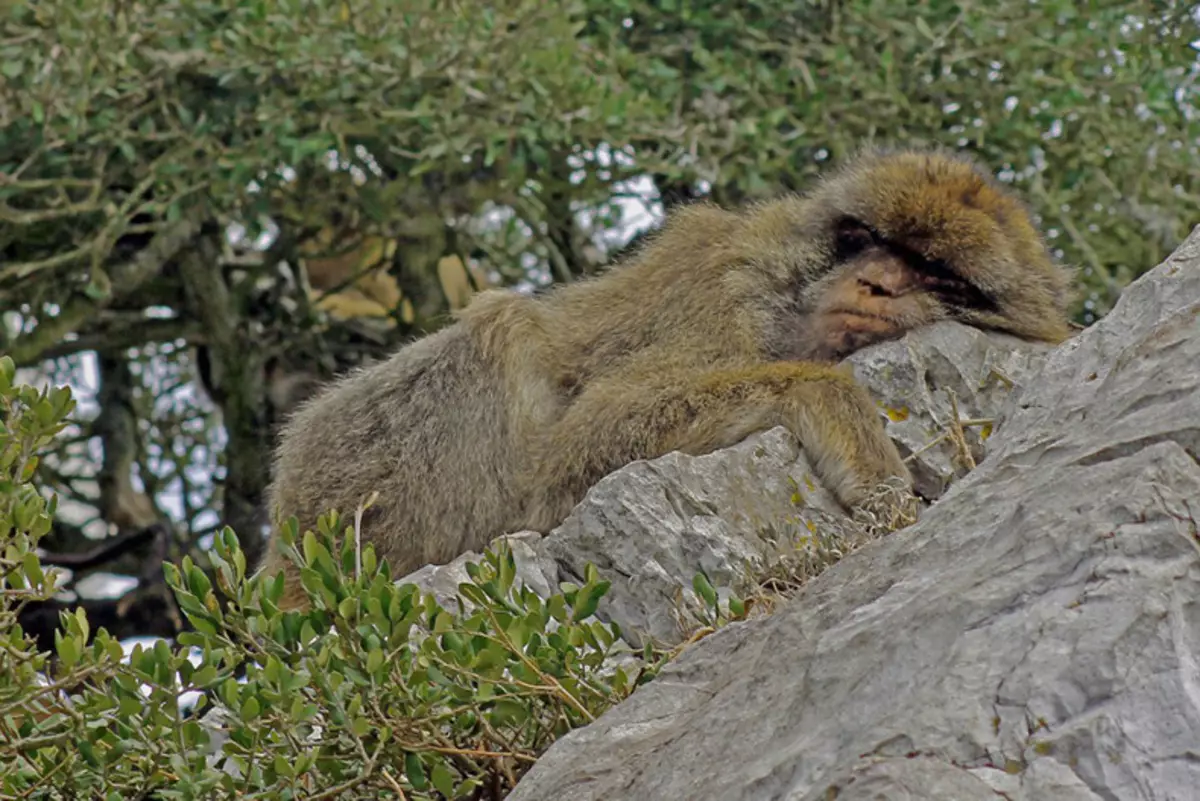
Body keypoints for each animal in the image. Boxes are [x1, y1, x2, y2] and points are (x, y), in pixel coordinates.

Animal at [262, 146, 1080, 606]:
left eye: (932, 269)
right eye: (872, 240)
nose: (876, 283)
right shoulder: (722, 293)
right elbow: (581, 441)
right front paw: (836, 409)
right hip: (356, 489)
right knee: (507, 340)